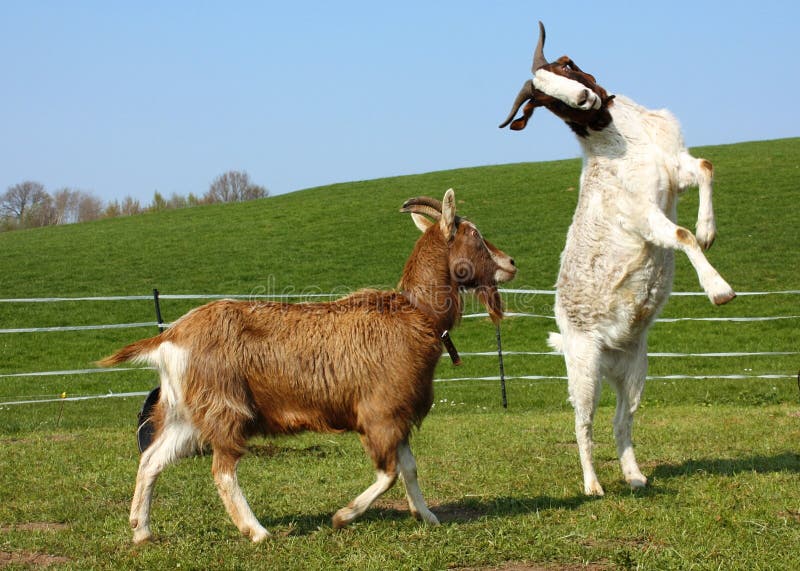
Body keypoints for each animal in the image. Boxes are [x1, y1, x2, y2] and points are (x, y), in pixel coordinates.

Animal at [98, 188, 517, 543]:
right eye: (474, 234)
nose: (511, 263)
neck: (416, 315)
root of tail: (171, 337)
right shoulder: (378, 413)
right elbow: (388, 474)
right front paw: (343, 516)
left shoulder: (399, 413)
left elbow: (409, 468)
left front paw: (428, 516)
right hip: (225, 407)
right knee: (222, 471)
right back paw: (257, 532)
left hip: (187, 411)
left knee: (152, 459)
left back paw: (141, 531)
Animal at [500, 22, 735, 496]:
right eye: (545, 100)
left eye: (565, 66)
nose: (583, 99)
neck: (622, 137)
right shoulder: (640, 213)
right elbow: (679, 235)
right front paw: (719, 290)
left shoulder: (674, 169)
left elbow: (704, 167)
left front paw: (708, 230)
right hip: (583, 367)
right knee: (583, 423)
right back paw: (593, 485)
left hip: (635, 367)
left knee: (621, 420)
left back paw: (635, 476)